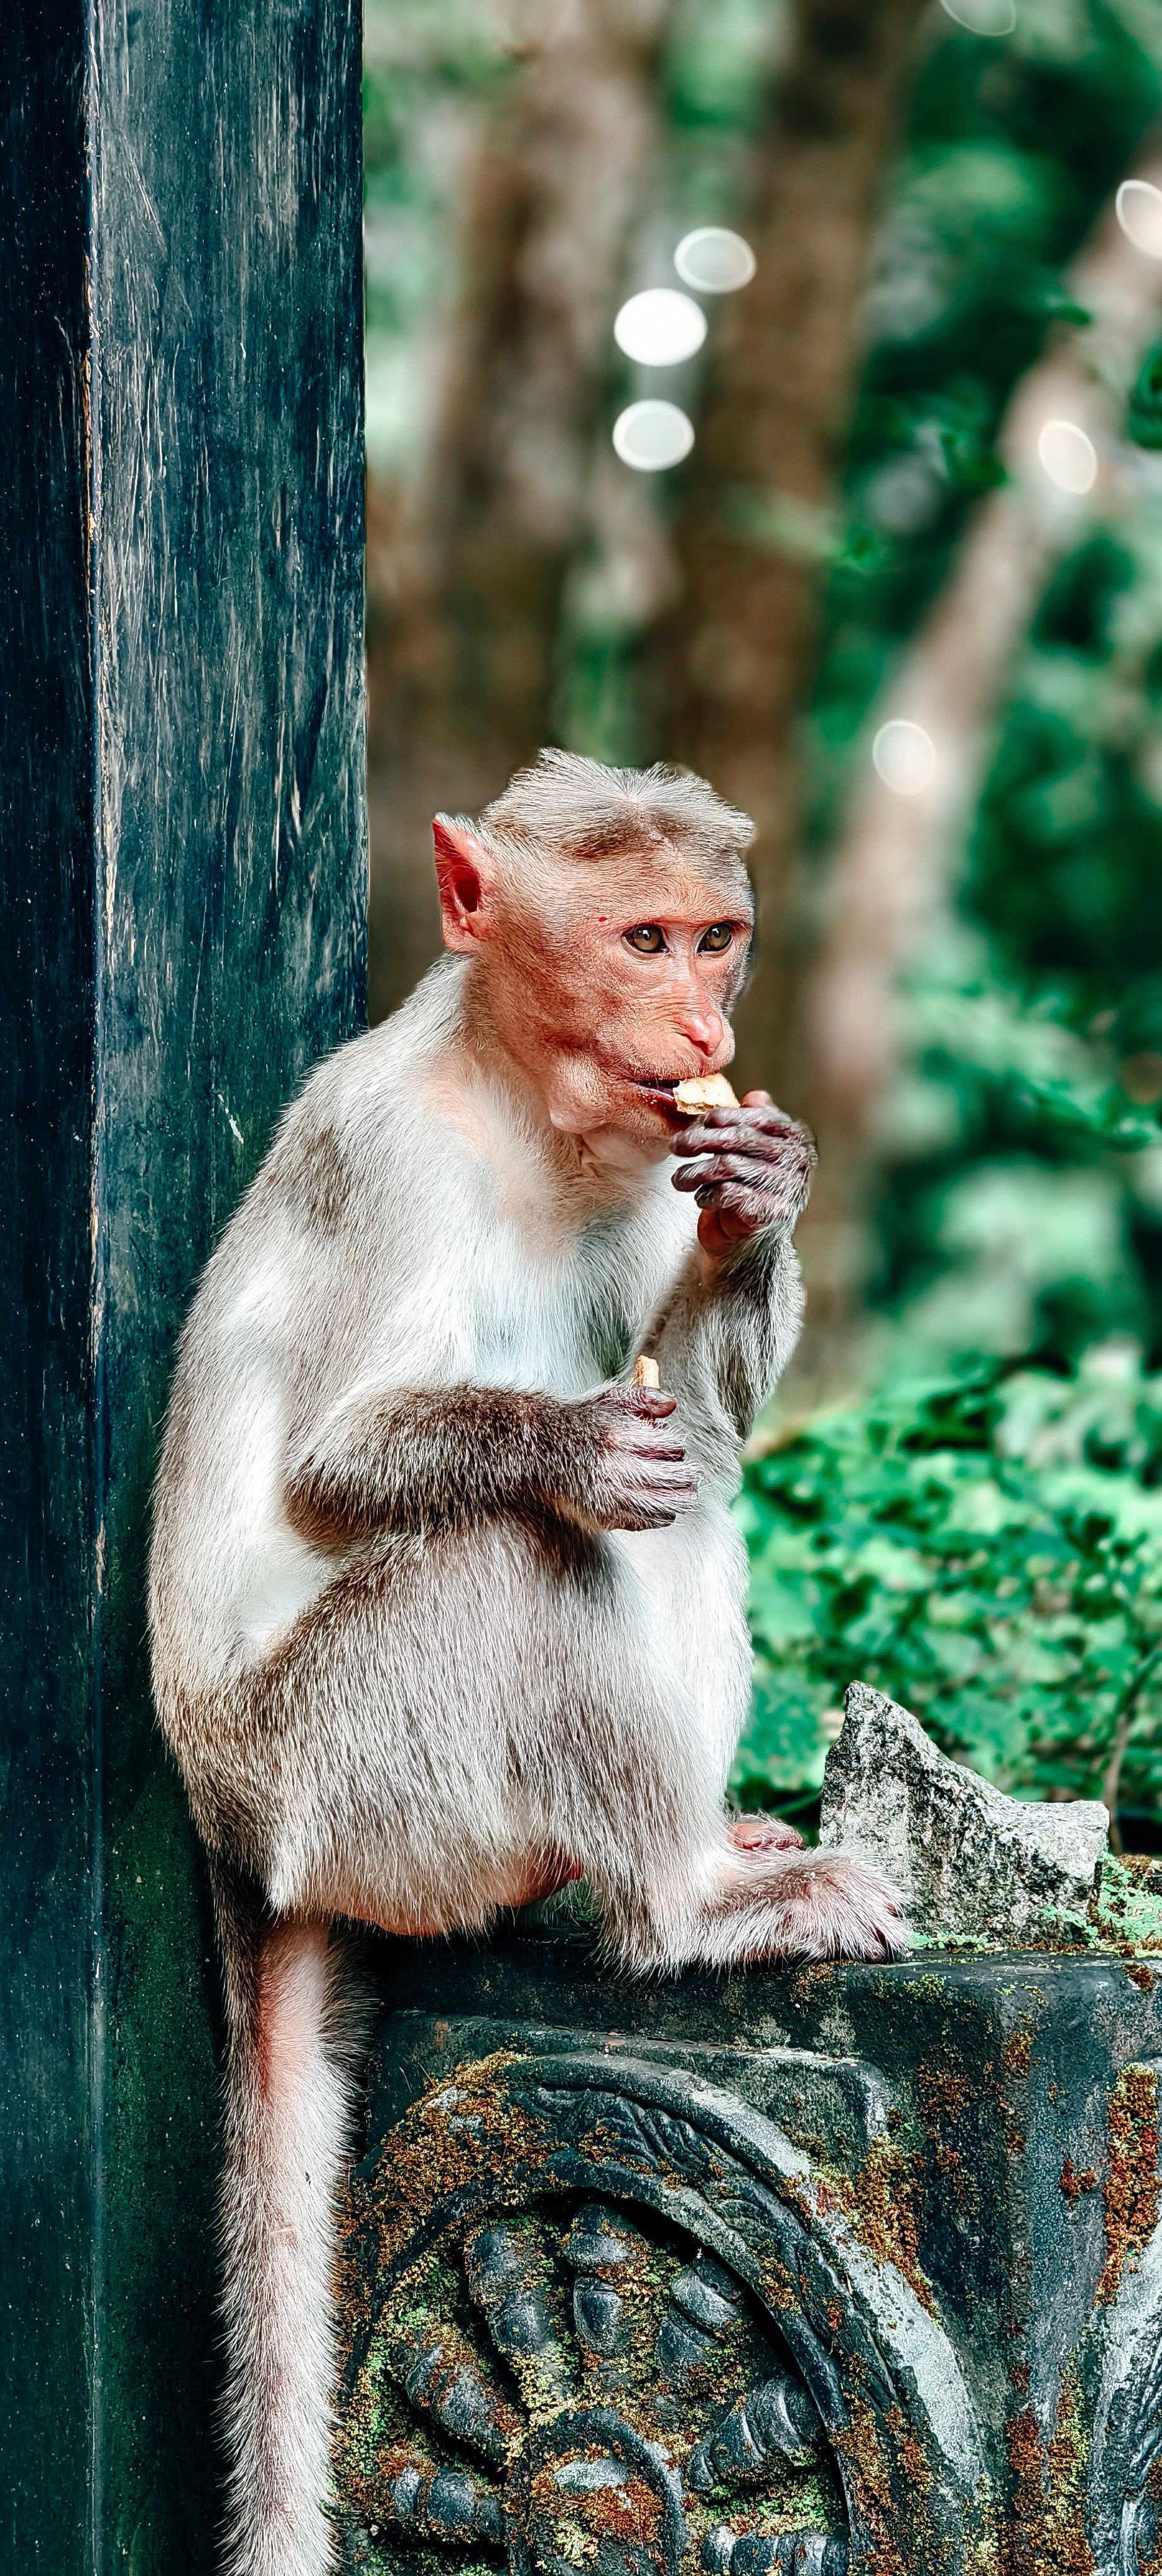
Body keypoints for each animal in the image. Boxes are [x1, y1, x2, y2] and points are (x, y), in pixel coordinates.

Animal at [148, 749, 903, 2576]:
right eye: (642, 936)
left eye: (716, 937)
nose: (702, 1017)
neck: (513, 1097)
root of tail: (239, 1842)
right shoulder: (383, 1159)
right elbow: (337, 1465)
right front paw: (559, 1444)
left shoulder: (641, 1159)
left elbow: (699, 1397)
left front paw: (761, 1193)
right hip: (353, 1782)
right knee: (525, 1552)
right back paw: (683, 1907)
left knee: (699, 1478)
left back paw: (694, 1852)